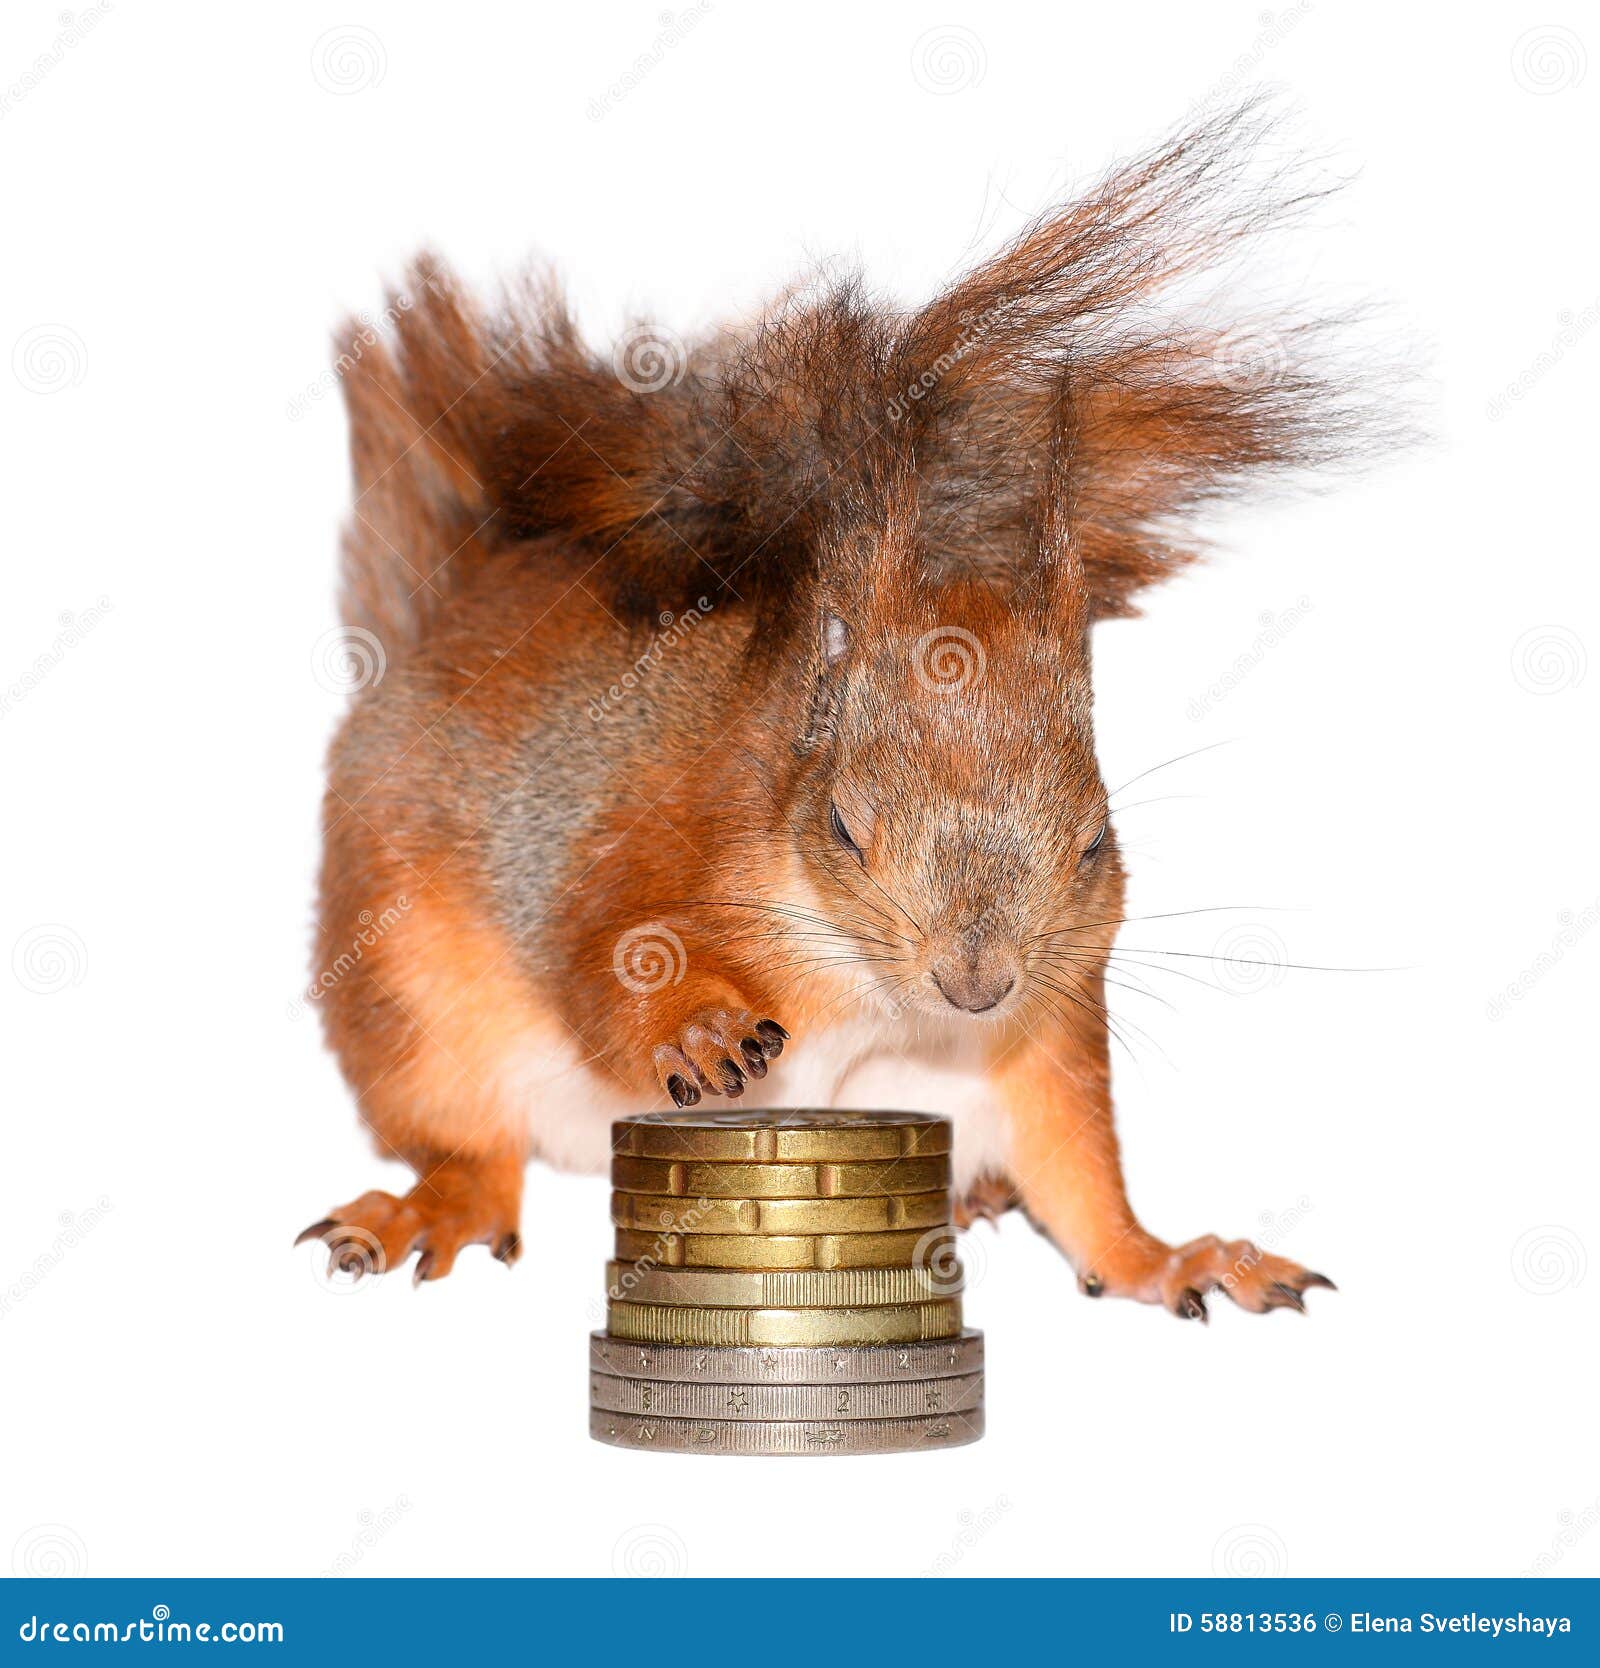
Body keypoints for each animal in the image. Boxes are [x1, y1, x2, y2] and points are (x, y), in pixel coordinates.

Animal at [300, 104, 1386, 1317]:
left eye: (1095, 845)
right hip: (410, 1004)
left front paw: (1174, 1258)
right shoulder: (639, 830)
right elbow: (603, 948)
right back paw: (431, 1205)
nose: (976, 983)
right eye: (841, 825)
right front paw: (702, 1030)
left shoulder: (1044, 1028)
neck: (860, 984)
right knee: (469, 1147)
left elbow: (1083, 1183)